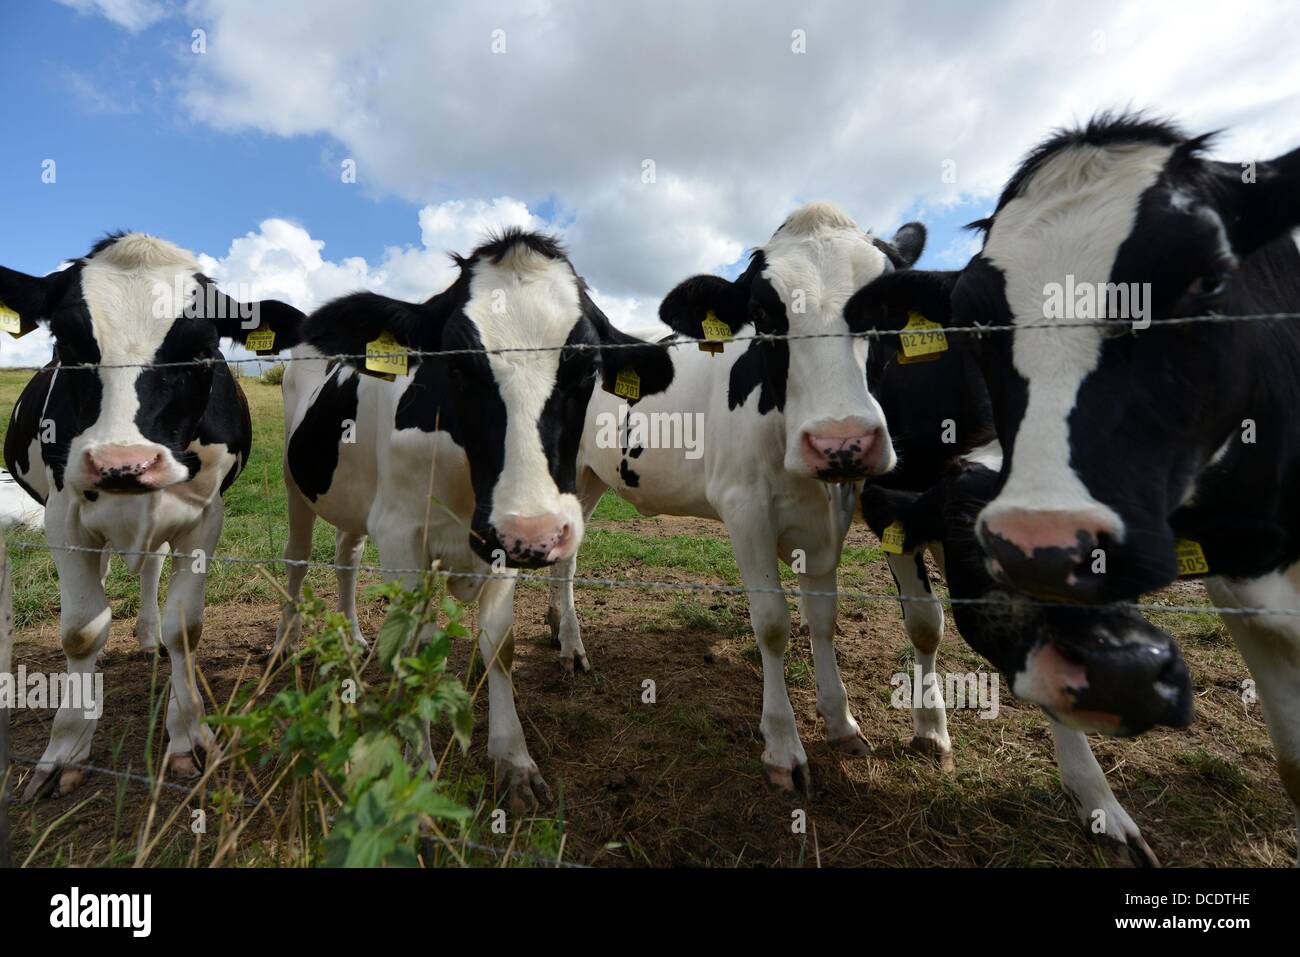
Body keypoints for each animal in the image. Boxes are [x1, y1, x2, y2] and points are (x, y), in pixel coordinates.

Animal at [0, 232, 305, 798]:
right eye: (67, 343)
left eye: (203, 349)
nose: (123, 463)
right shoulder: (63, 516)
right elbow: (81, 628)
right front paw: (65, 749)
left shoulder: (204, 517)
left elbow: (185, 626)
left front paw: (188, 738)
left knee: (150, 569)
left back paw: (147, 635)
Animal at [276, 228, 674, 812]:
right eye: (458, 365)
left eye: (586, 369)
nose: (537, 534)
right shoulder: (402, 533)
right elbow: (414, 647)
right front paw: (416, 765)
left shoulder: (501, 537)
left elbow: (499, 644)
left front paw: (514, 761)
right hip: (296, 484)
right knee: (299, 559)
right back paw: (286, 641)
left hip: (355, 498)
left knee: (346, 555)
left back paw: (353, 639)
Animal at [545, 202, 926, 793]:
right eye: (764, 315)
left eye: (884, 308)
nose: (841, 441)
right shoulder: (744, 509)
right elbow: (771, 622)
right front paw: (783, 748)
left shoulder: (828, 519)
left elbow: (823, 619)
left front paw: (841, 722)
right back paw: (571, 647)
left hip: (591, 479)